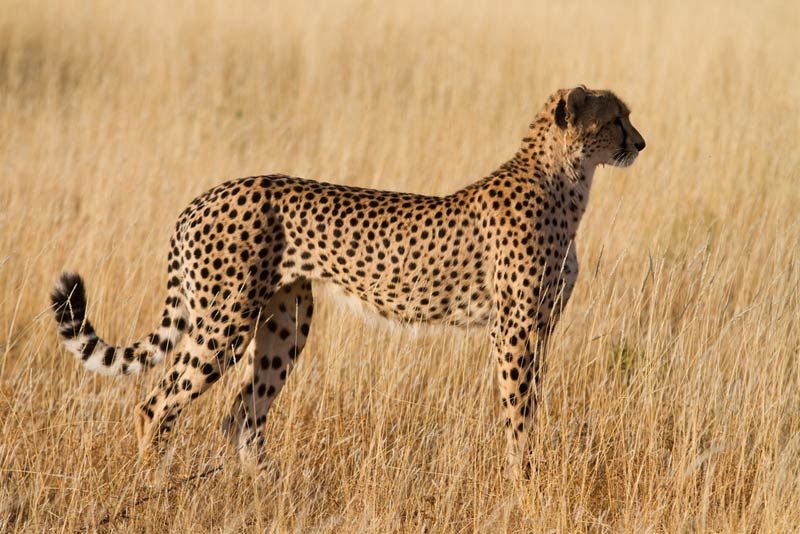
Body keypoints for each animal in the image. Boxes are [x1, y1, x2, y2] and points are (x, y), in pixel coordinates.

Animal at [51, 86, 645, 477]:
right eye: (616, 118)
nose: (640, 143)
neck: (565, 180)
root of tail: (205, 195)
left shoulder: (540, 327)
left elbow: (530, 405)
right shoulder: (515, 329)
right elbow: (519, 413)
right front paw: (526, 484)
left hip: (285, 323)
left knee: (241, 415)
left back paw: (270, 492)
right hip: (226, 320)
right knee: (158, 404)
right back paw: (155, 483)